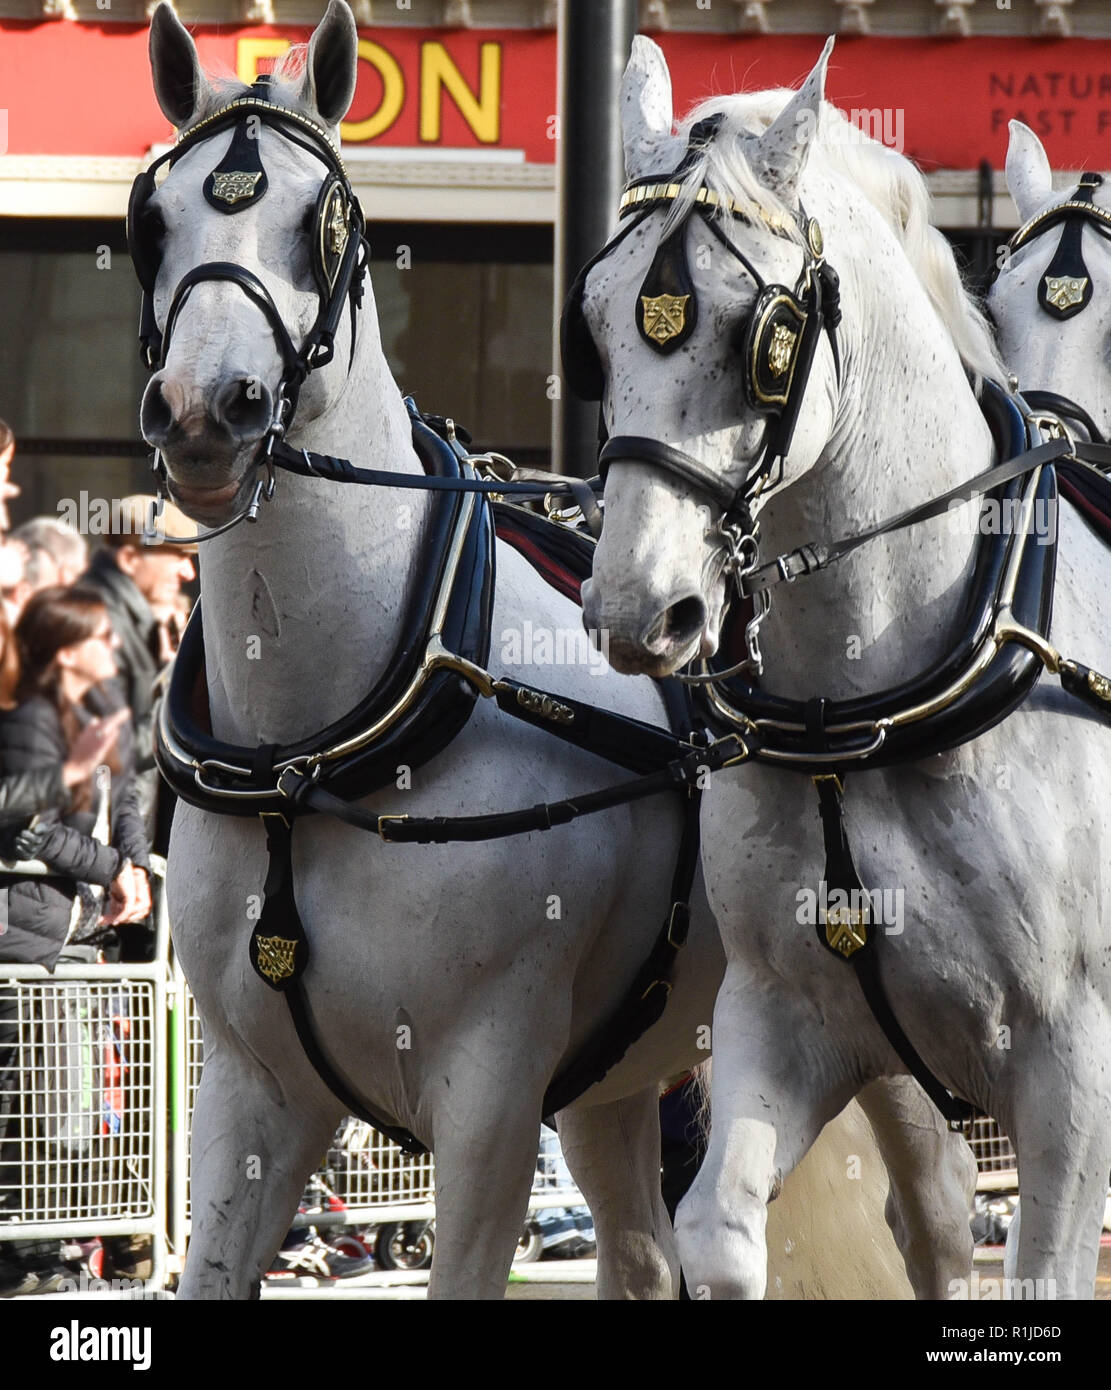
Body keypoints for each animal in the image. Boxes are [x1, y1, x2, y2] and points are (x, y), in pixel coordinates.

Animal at [137, 2, 931, 1299]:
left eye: (322, 220)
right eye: (153, 219)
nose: (212, 411)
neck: (321, 747)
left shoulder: (491, 1094)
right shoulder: (251, 1092)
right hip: (620, 1076)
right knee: (642, 1251)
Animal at [578, 35, 1111, 1299]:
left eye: (761, 334)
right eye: (597, 325)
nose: (639, 608)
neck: (866, 709)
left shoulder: (1074, 1062)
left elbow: (1050, 1272)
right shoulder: (785, 1016)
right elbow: (719, 1237)